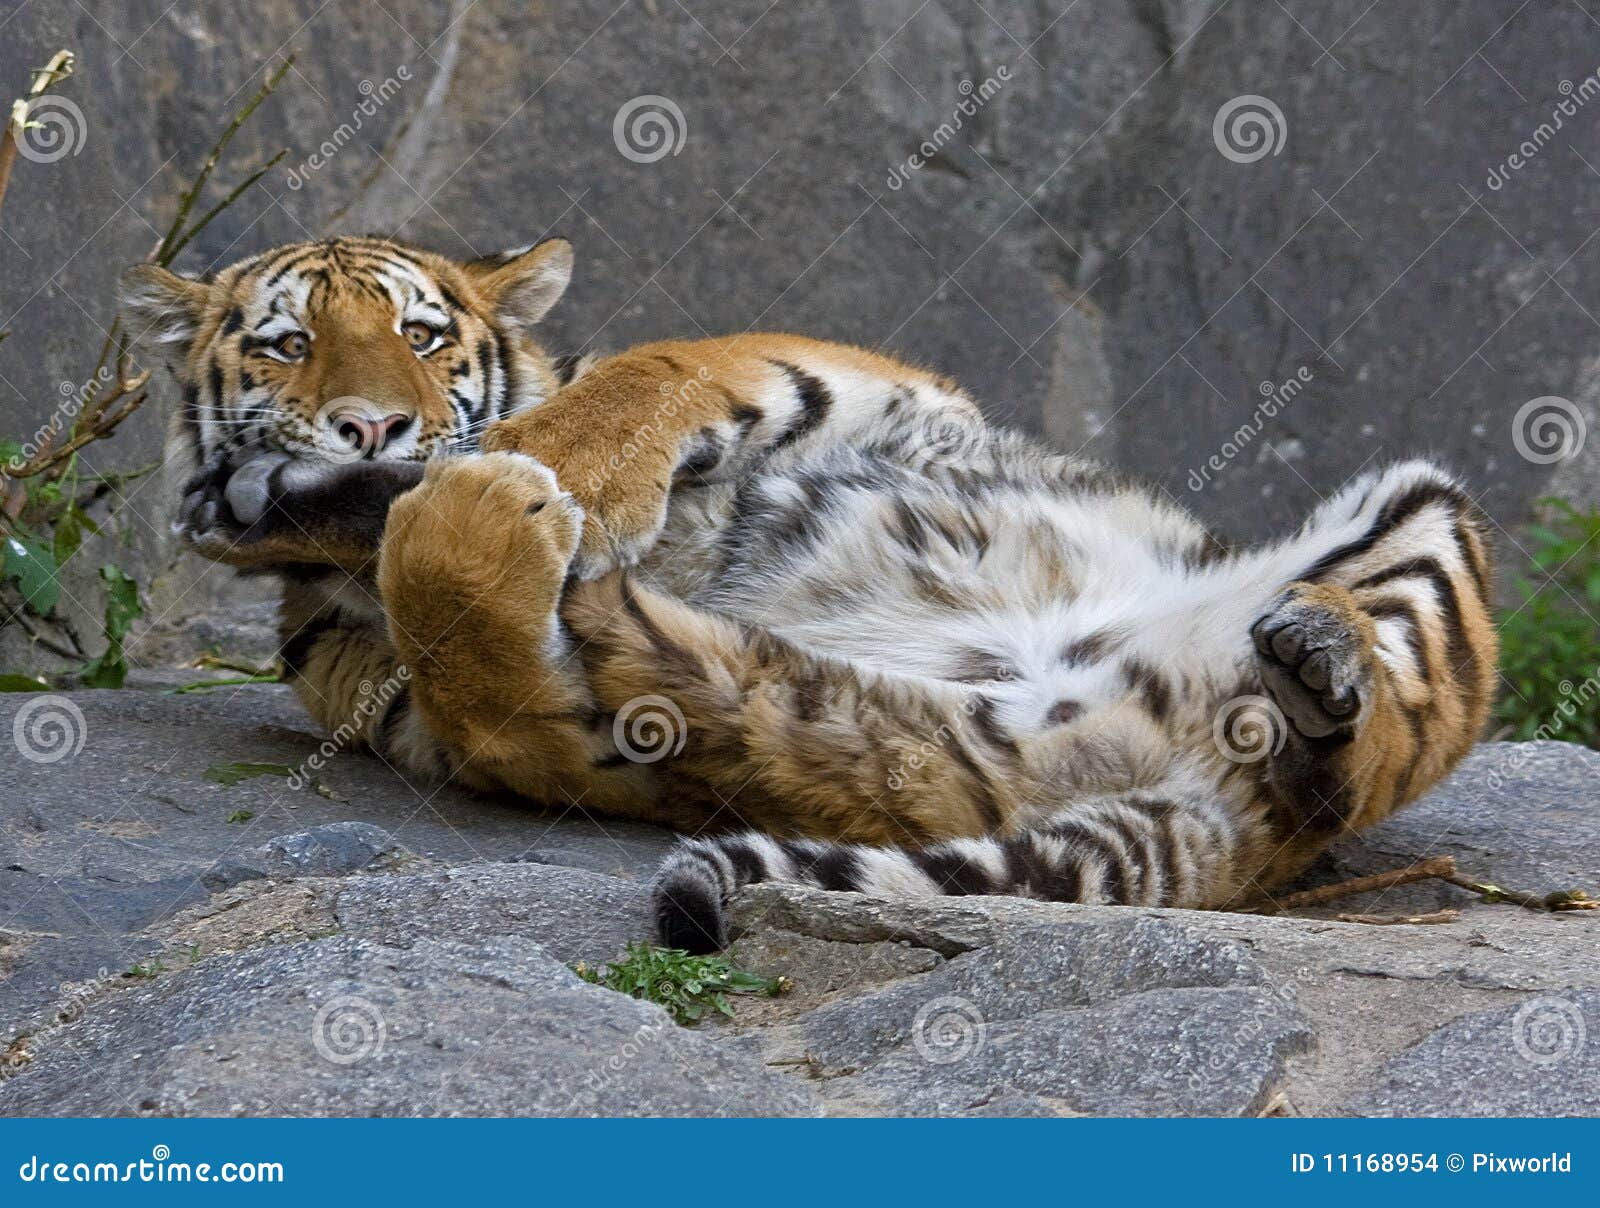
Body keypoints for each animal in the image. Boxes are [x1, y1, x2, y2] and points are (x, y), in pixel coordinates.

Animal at [120, 235, 1498, 956]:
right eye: (289, 344)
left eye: (420, 334)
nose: (373, 421)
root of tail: (1232, 814)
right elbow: (456, 629)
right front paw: (329, 499)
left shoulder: (853, 377)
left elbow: (647, 373)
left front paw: (548, 469)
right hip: (839, 724)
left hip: (1428, 517)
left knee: (1355, 718)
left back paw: (1318, 655)